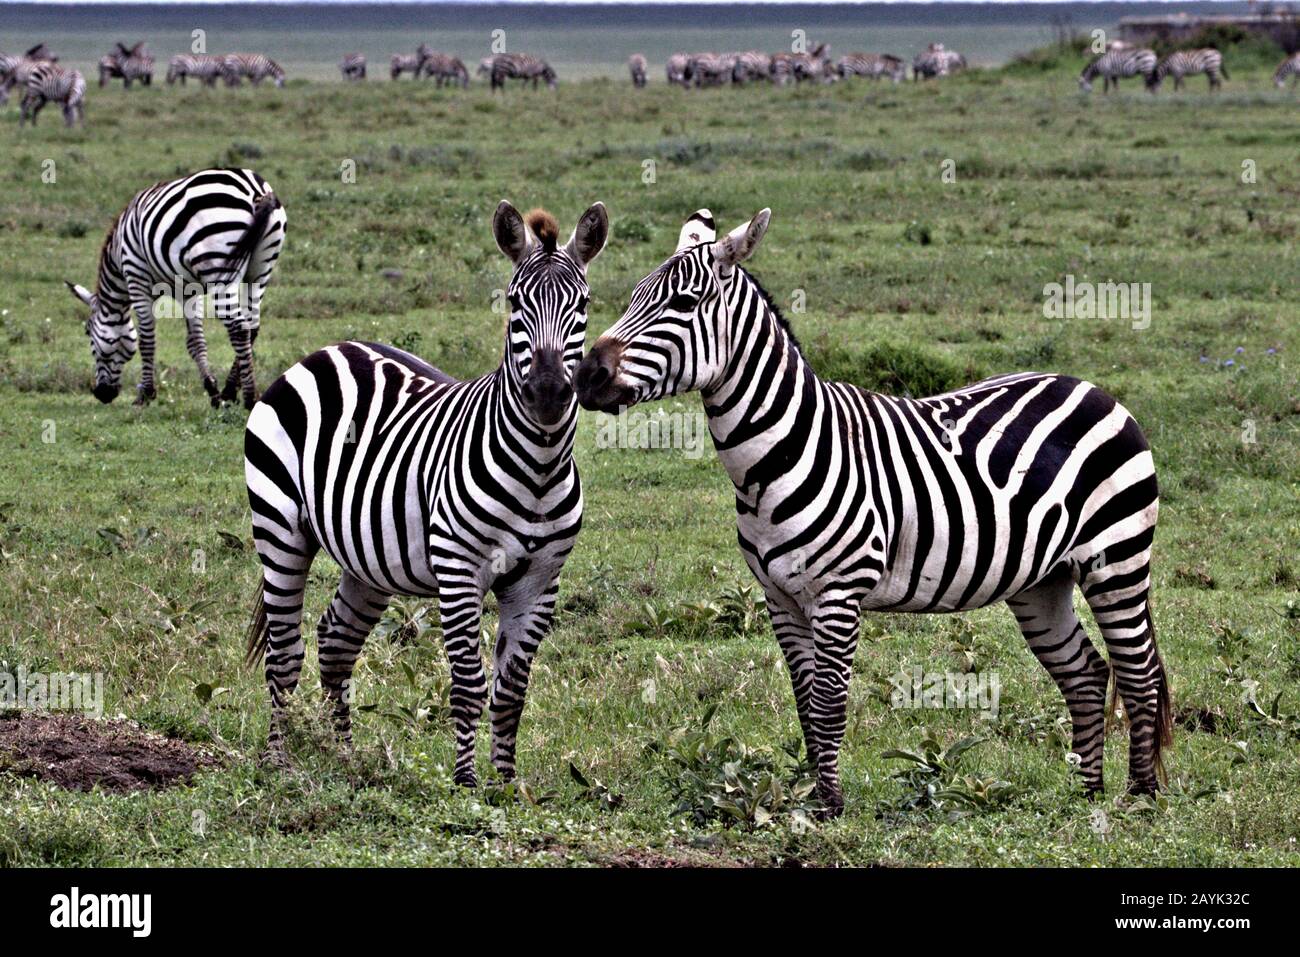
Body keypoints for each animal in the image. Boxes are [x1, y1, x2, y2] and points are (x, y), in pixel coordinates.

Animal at [64, 168, 286, 408]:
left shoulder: (136, 275)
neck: (118, 251)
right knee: (252, 325)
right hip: (261, 269)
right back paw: (229, 391)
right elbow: (195, 341)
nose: (101, 394)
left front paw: (145, 394)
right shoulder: (187, 290)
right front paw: (212, 391)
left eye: (88, 332)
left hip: (218, 266)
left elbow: (146, 339)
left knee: (238, 327)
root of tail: (255, 189)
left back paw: (250, 397)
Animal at [243, 201, 608, 777]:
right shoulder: (460, 571)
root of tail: (327, 350)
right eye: (514, 303)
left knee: (336, 642)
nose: (548, 394)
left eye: (584, 304)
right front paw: (465, 782)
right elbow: (469, 686)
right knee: (284, 654)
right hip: (279, 529)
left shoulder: (540, 582)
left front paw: (505, 783)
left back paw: (345, 757)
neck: (538, 469)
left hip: (368, 557)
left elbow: (511, 691)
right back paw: (278, 761)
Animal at [575, 209, 1172, 815]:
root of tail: (1094, 388)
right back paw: (1088, 794)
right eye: (632, 296)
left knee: (1139, 671)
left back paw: (1140, 798)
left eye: (684, 302)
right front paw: (817, 796)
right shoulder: (779, 597)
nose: (585, 376)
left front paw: (830, 807)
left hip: (1116, 559)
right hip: (1041, 581)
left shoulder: (839, 594)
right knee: (1086, 673)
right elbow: (804, 702)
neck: (778, 455)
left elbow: (828, 702)